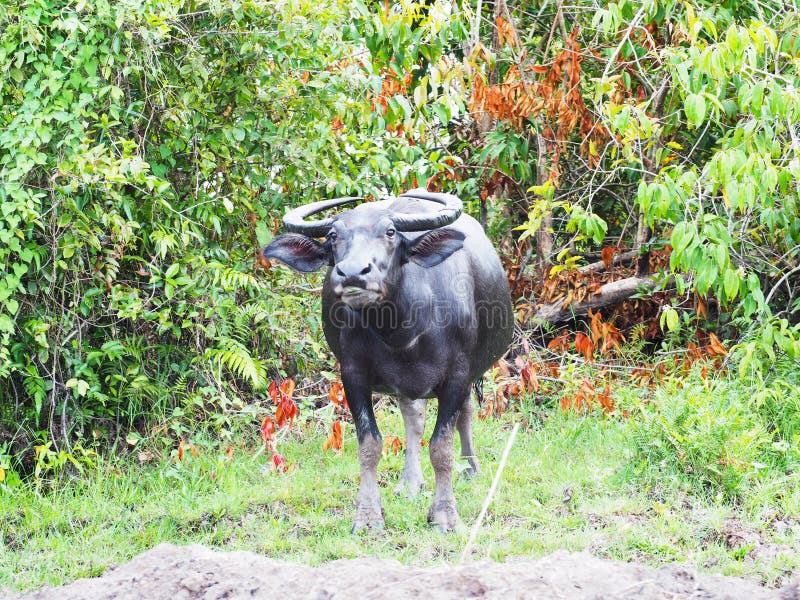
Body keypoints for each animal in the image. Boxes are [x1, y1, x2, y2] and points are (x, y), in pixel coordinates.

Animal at [261, 189, 512, 531]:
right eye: (333, 235)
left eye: (390, 232)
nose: (353, 273)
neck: (401, 329)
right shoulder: (353, 376)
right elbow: (370, 445)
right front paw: (368, 516)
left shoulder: (457, 376)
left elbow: (442, 446)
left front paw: (445, 515)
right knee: (414, 418)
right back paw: (410, 482)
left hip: (471, 374)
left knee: (466, 415)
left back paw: (471, 468)